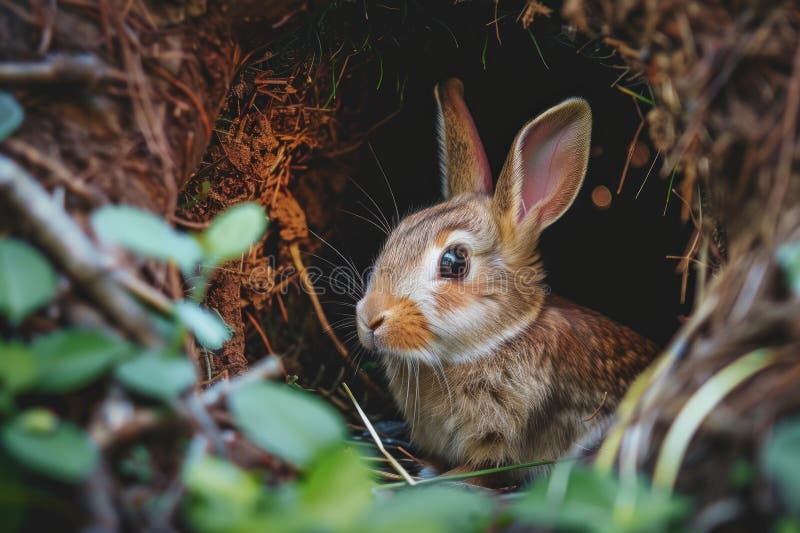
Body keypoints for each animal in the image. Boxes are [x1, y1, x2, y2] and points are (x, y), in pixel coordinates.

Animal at [355, 78, 658, 486]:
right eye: (398, 234)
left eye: (454, 262)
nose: (370, 318)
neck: (497, 341)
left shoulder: (499, 441)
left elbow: (482, 469)